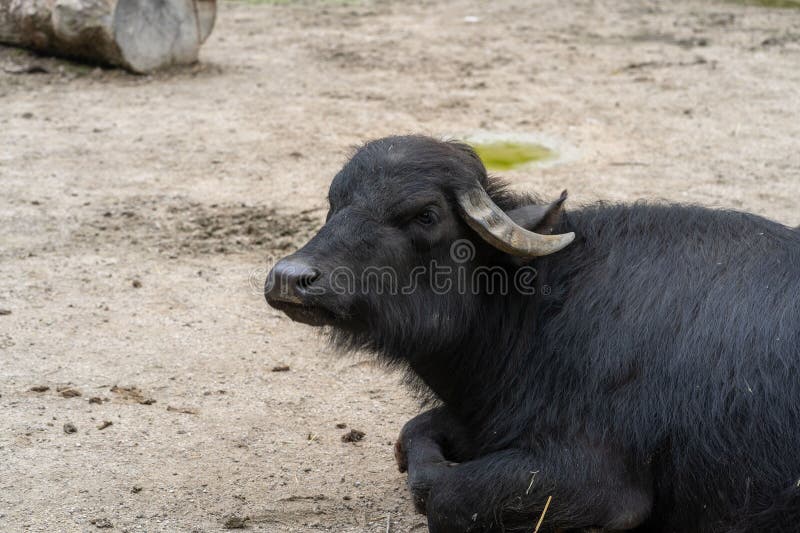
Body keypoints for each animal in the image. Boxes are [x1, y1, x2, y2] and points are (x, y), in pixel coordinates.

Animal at [265, 135, 800, 532]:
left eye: (425, 214)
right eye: (335, 204)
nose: (290, 278)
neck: (538, 306)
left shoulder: (593, 481)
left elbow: (441, 493)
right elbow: (414, 431)